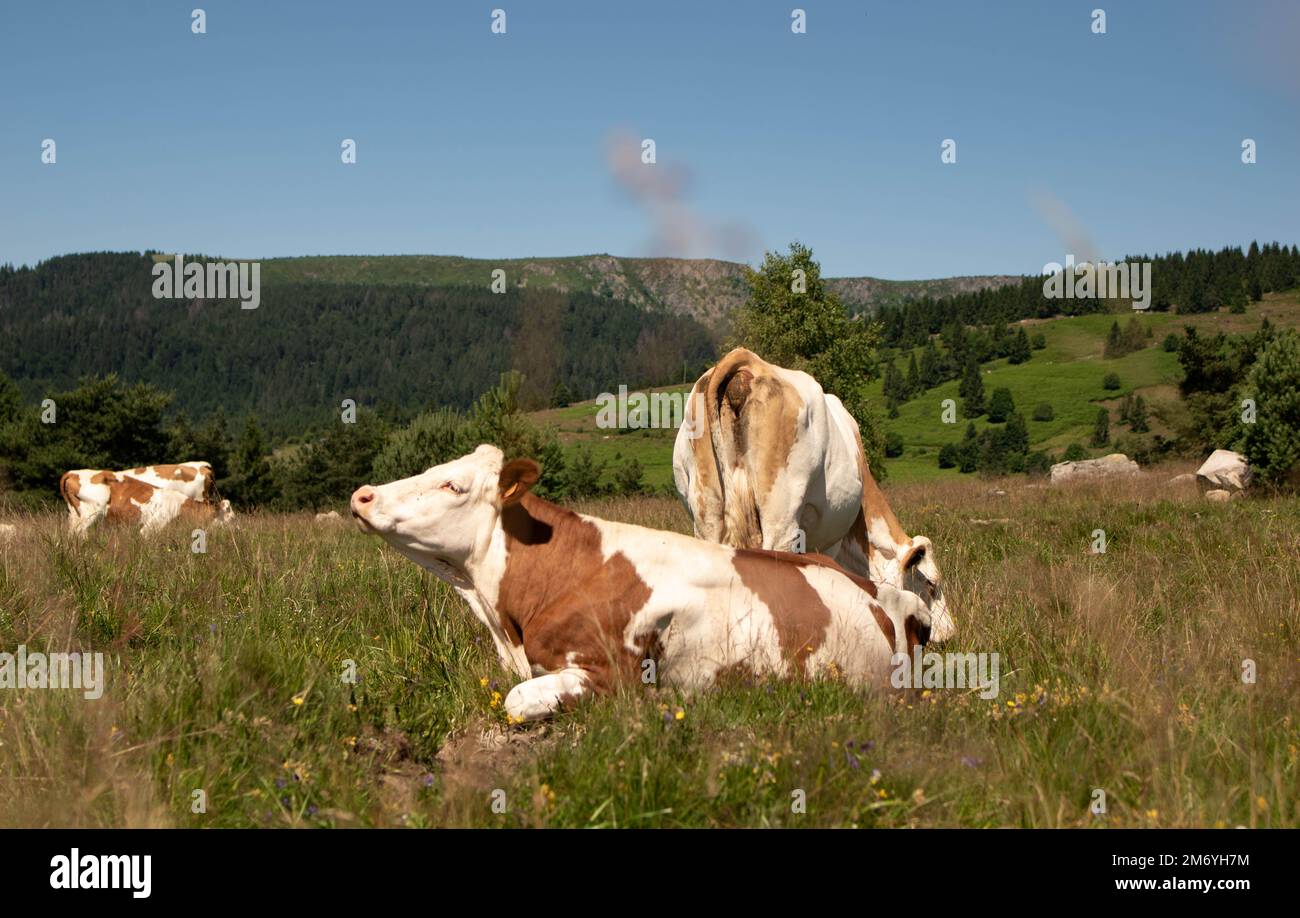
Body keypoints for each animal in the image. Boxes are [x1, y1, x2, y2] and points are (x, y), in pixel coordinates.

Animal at [672, 347, 955, 642]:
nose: (950, 634)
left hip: (707, 514)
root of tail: (747, 361)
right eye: (931, 584)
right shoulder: (829, 542)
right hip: (780, 520)